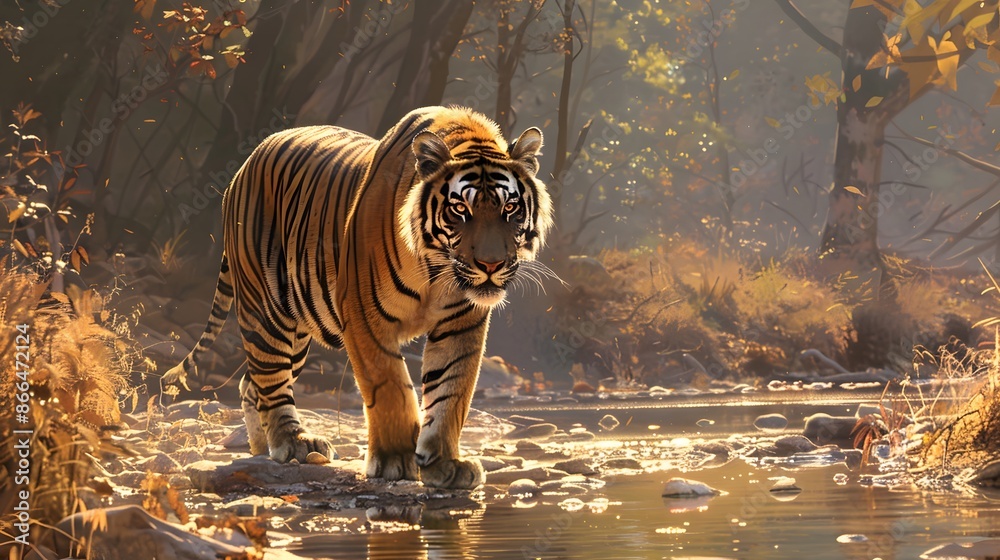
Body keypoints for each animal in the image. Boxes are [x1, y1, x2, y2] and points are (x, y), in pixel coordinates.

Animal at [164, 106, 552, 489]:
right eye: (460, 210)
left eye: (510, 209)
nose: (490, 264)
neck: (436, 271)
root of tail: (241, 170)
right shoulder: (365, 313)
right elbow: (390, 387)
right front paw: (395, 459)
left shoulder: (461, 321)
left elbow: (451, 390)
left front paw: (446, 464)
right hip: (266, 310)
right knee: (270, 377)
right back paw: (293, 443)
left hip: (300, 329)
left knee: (251, 382)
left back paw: (263, 447)